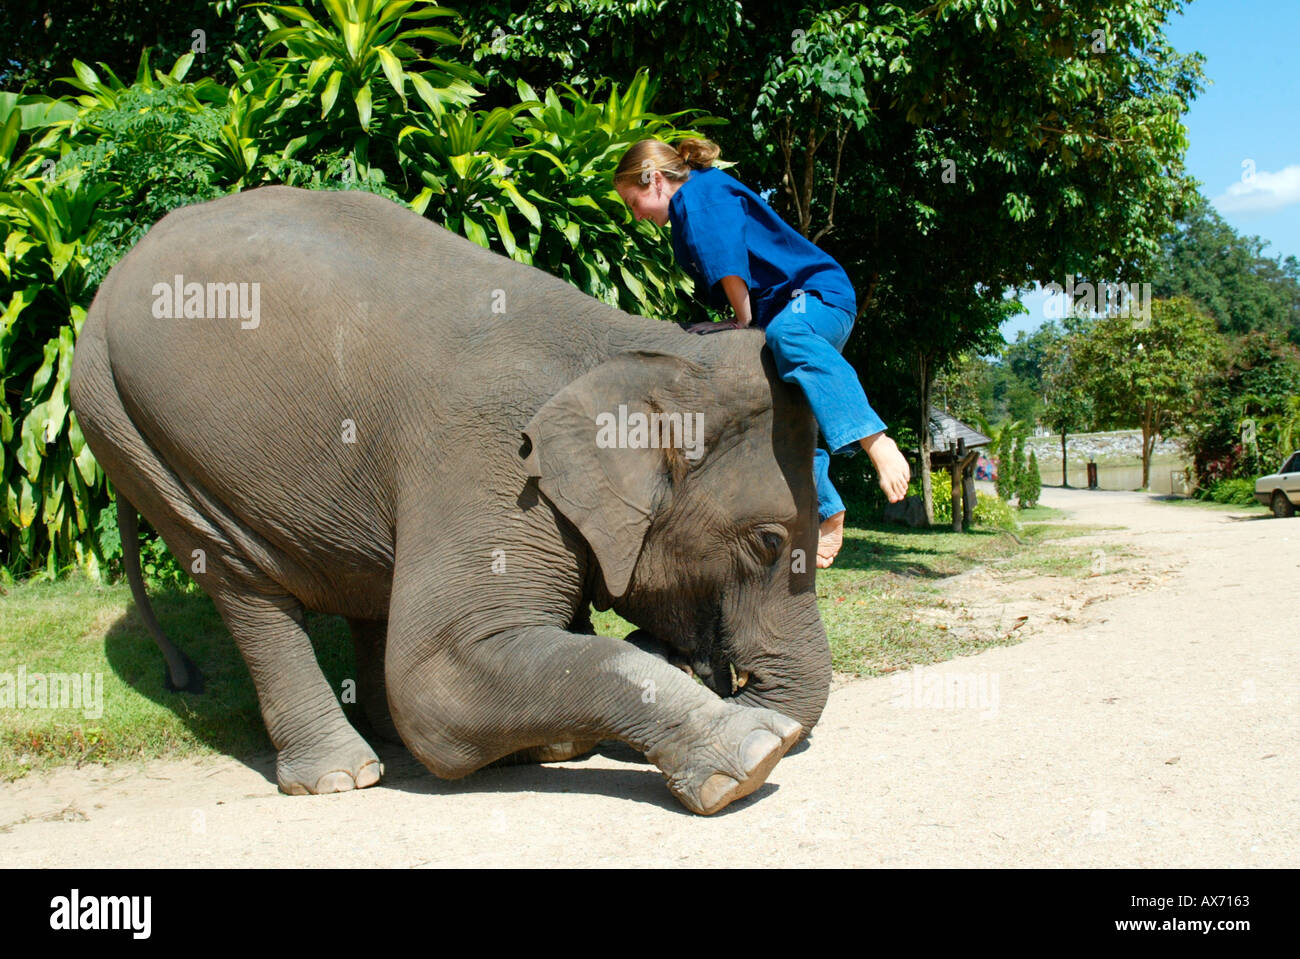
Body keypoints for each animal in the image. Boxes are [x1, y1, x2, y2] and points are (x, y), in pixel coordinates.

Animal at [69, 185, 832, 815]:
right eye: (767, 541)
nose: (724, 674)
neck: (636, 347)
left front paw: (567, 739)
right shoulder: (488, 459)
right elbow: (437, 675)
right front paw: (751, 753)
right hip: (131, 432)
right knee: (242, 585)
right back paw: (342, 777)